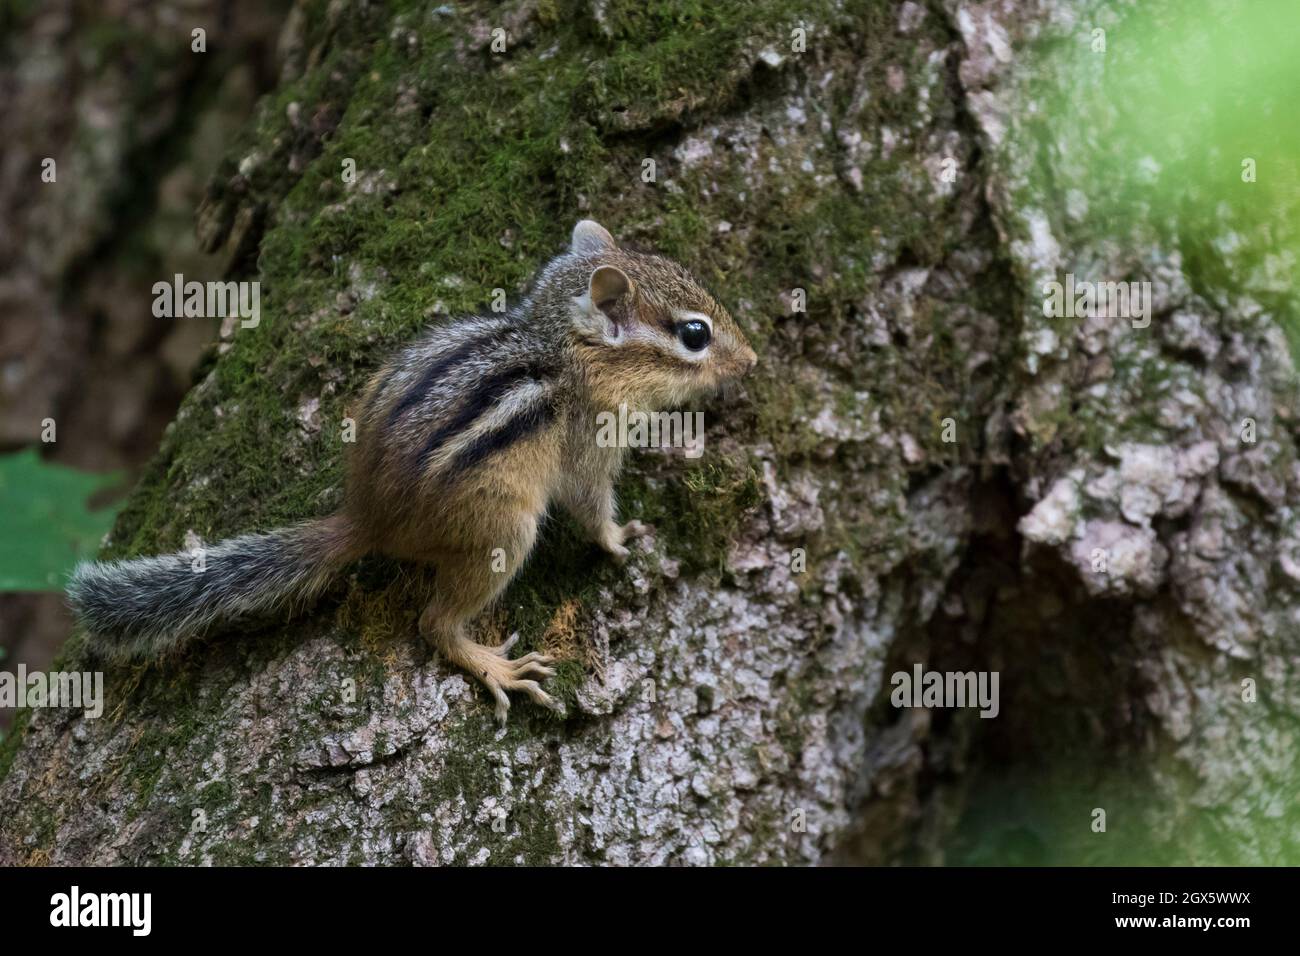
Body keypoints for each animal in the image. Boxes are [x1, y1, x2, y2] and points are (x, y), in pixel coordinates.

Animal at [67, 220, 758, 721]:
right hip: (502, 532)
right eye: (695, 335)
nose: (752, 359)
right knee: (433, 624)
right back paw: (493, 666)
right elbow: (591, 508)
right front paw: (620, 540)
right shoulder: (591, 442)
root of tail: (367, 517)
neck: (564, 347)